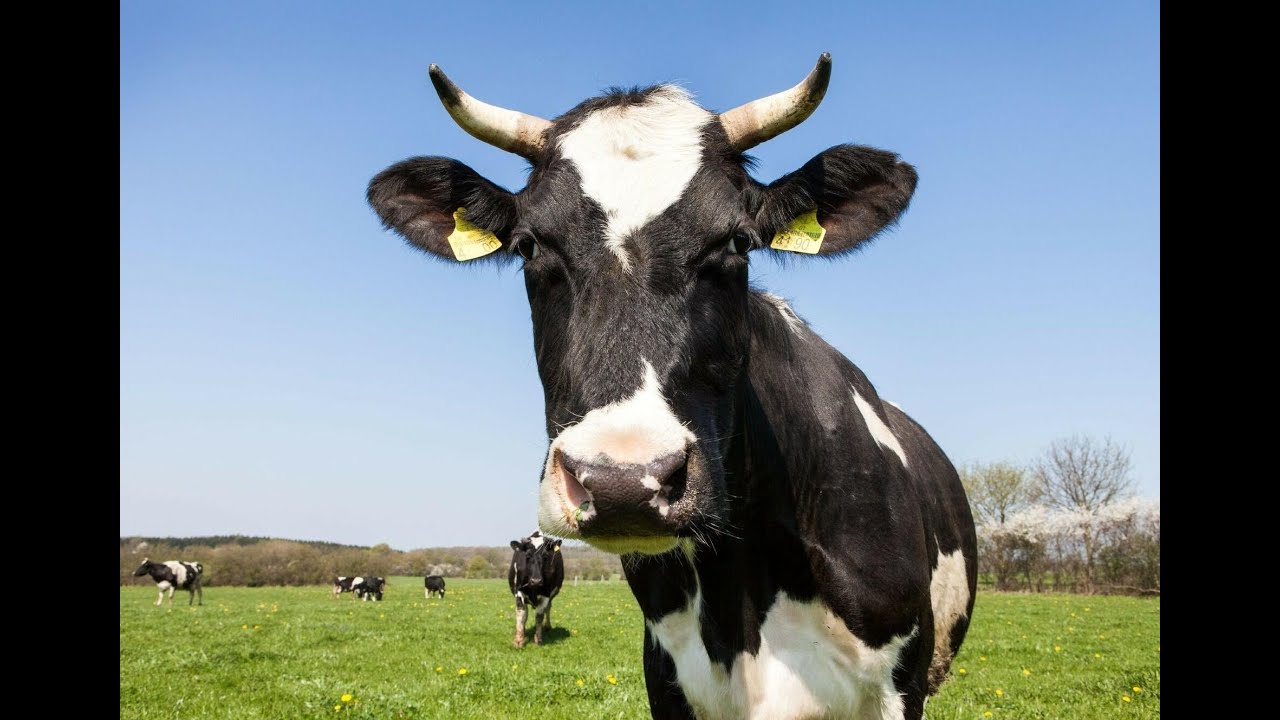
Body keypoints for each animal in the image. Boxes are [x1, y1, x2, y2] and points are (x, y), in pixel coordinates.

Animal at [367, 53, 977, 719]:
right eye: (529, 246)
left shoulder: (901, 685)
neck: (742, 602)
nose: (621, 483)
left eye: (737, 241)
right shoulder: (666, 680)